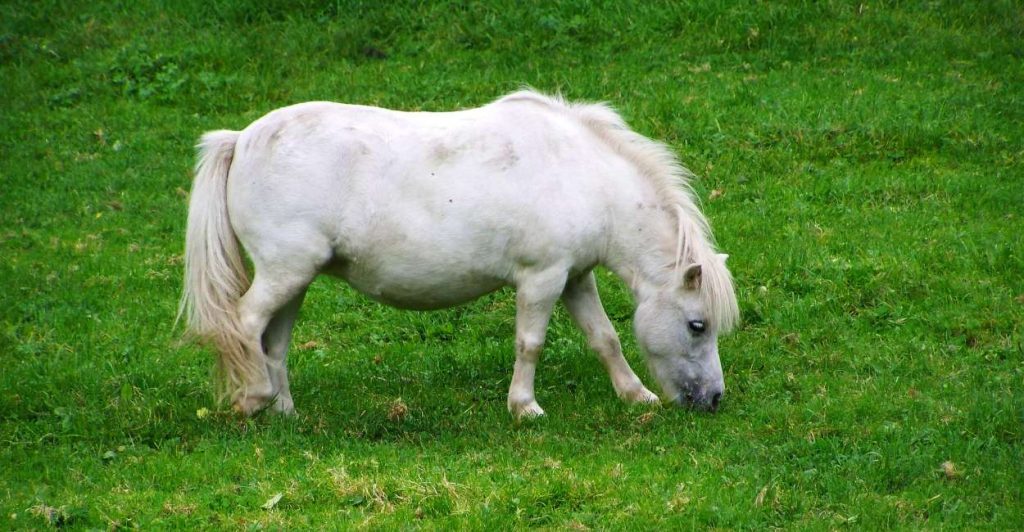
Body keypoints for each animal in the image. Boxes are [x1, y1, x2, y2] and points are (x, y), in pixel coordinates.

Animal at [178, 90, 739, 418]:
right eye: (698, 325)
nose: (713, 400)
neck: (583, 175)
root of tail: (241, 139)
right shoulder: (542, 279)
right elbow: (530, 344)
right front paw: (525, 408)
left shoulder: (575, 278)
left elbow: (605, 339)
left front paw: (635, 396)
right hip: (284, 274)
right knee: (245, 324)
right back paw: (254, 400)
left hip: (294, 279)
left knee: (273, 341)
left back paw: (285, 413)